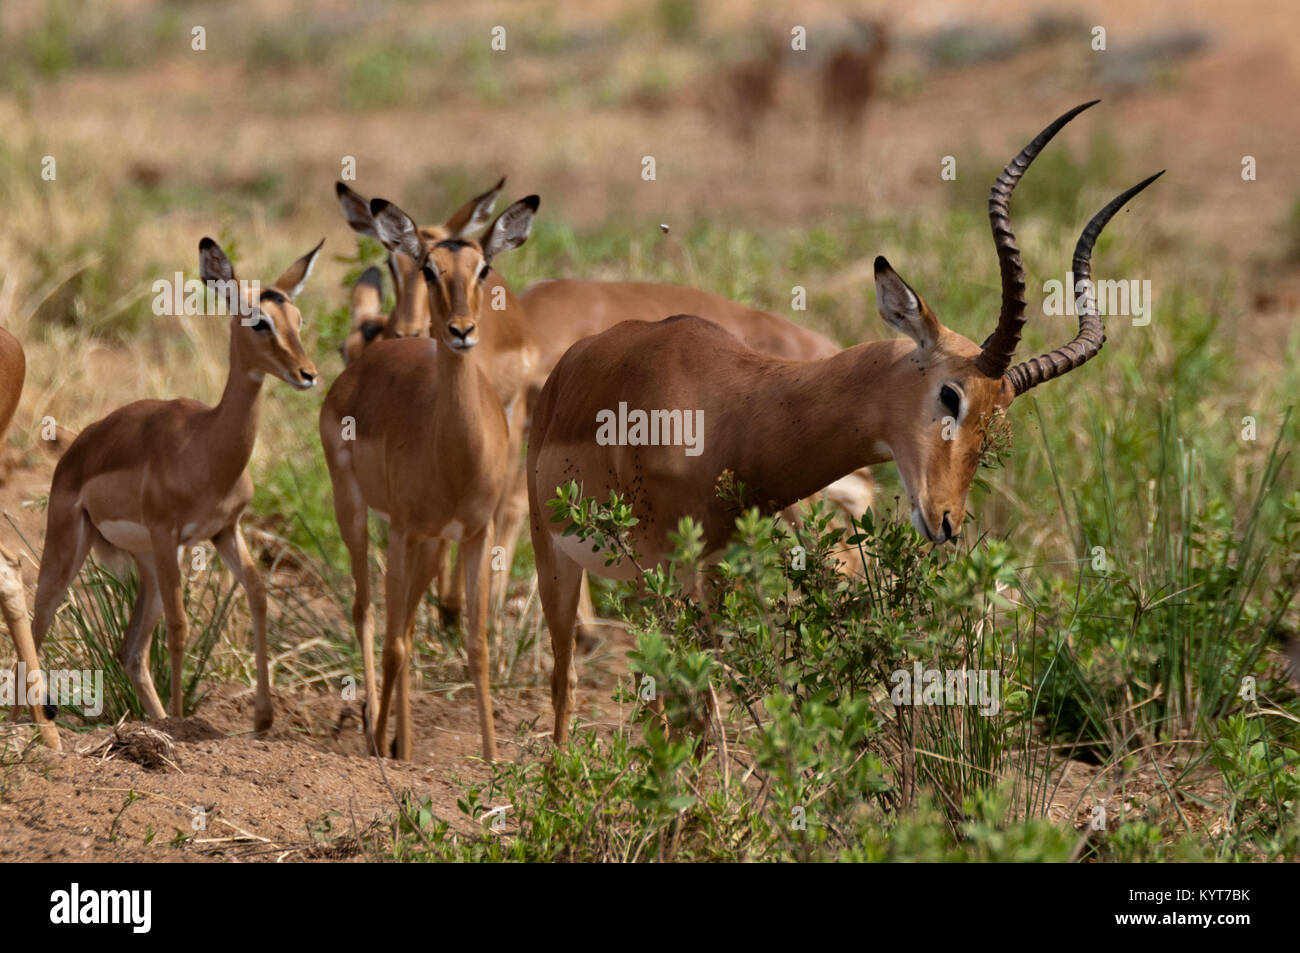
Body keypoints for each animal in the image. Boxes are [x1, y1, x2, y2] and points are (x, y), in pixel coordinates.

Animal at [29, 238, 323, 732]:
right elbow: (182, 625)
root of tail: (77, 447)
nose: (308, 374)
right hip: (71, 547)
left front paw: (263, 718)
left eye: (298, 319)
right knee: (38, 624)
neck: (205, 446)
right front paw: (186, 723)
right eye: (259, 320)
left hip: (147, 563)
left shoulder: (224, 531)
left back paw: (156, 719)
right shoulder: (169, 534)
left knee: (130, 652)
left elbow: (259, 595)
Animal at [320, 192, 538, 761]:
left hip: (431, 543)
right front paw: (379, 745)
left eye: (483, 268)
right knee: (367, 611)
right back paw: (377, 732)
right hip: (355, 513)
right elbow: (393, 640)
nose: (461, 331)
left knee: (408, 621)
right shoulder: (403, 530)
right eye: (428, 268)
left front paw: (492, 757)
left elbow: (476, 643)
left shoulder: (475, 534)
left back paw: (403, 741)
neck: (455, 457)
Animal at [528, 102, 1161, 743]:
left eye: (996, 418)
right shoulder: (672, 571)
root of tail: (567, 369)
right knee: (564, 680)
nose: (947, 521)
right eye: (950, 395)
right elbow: (694, 712)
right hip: (556, 557)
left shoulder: (714, 571)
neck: (731, 410)